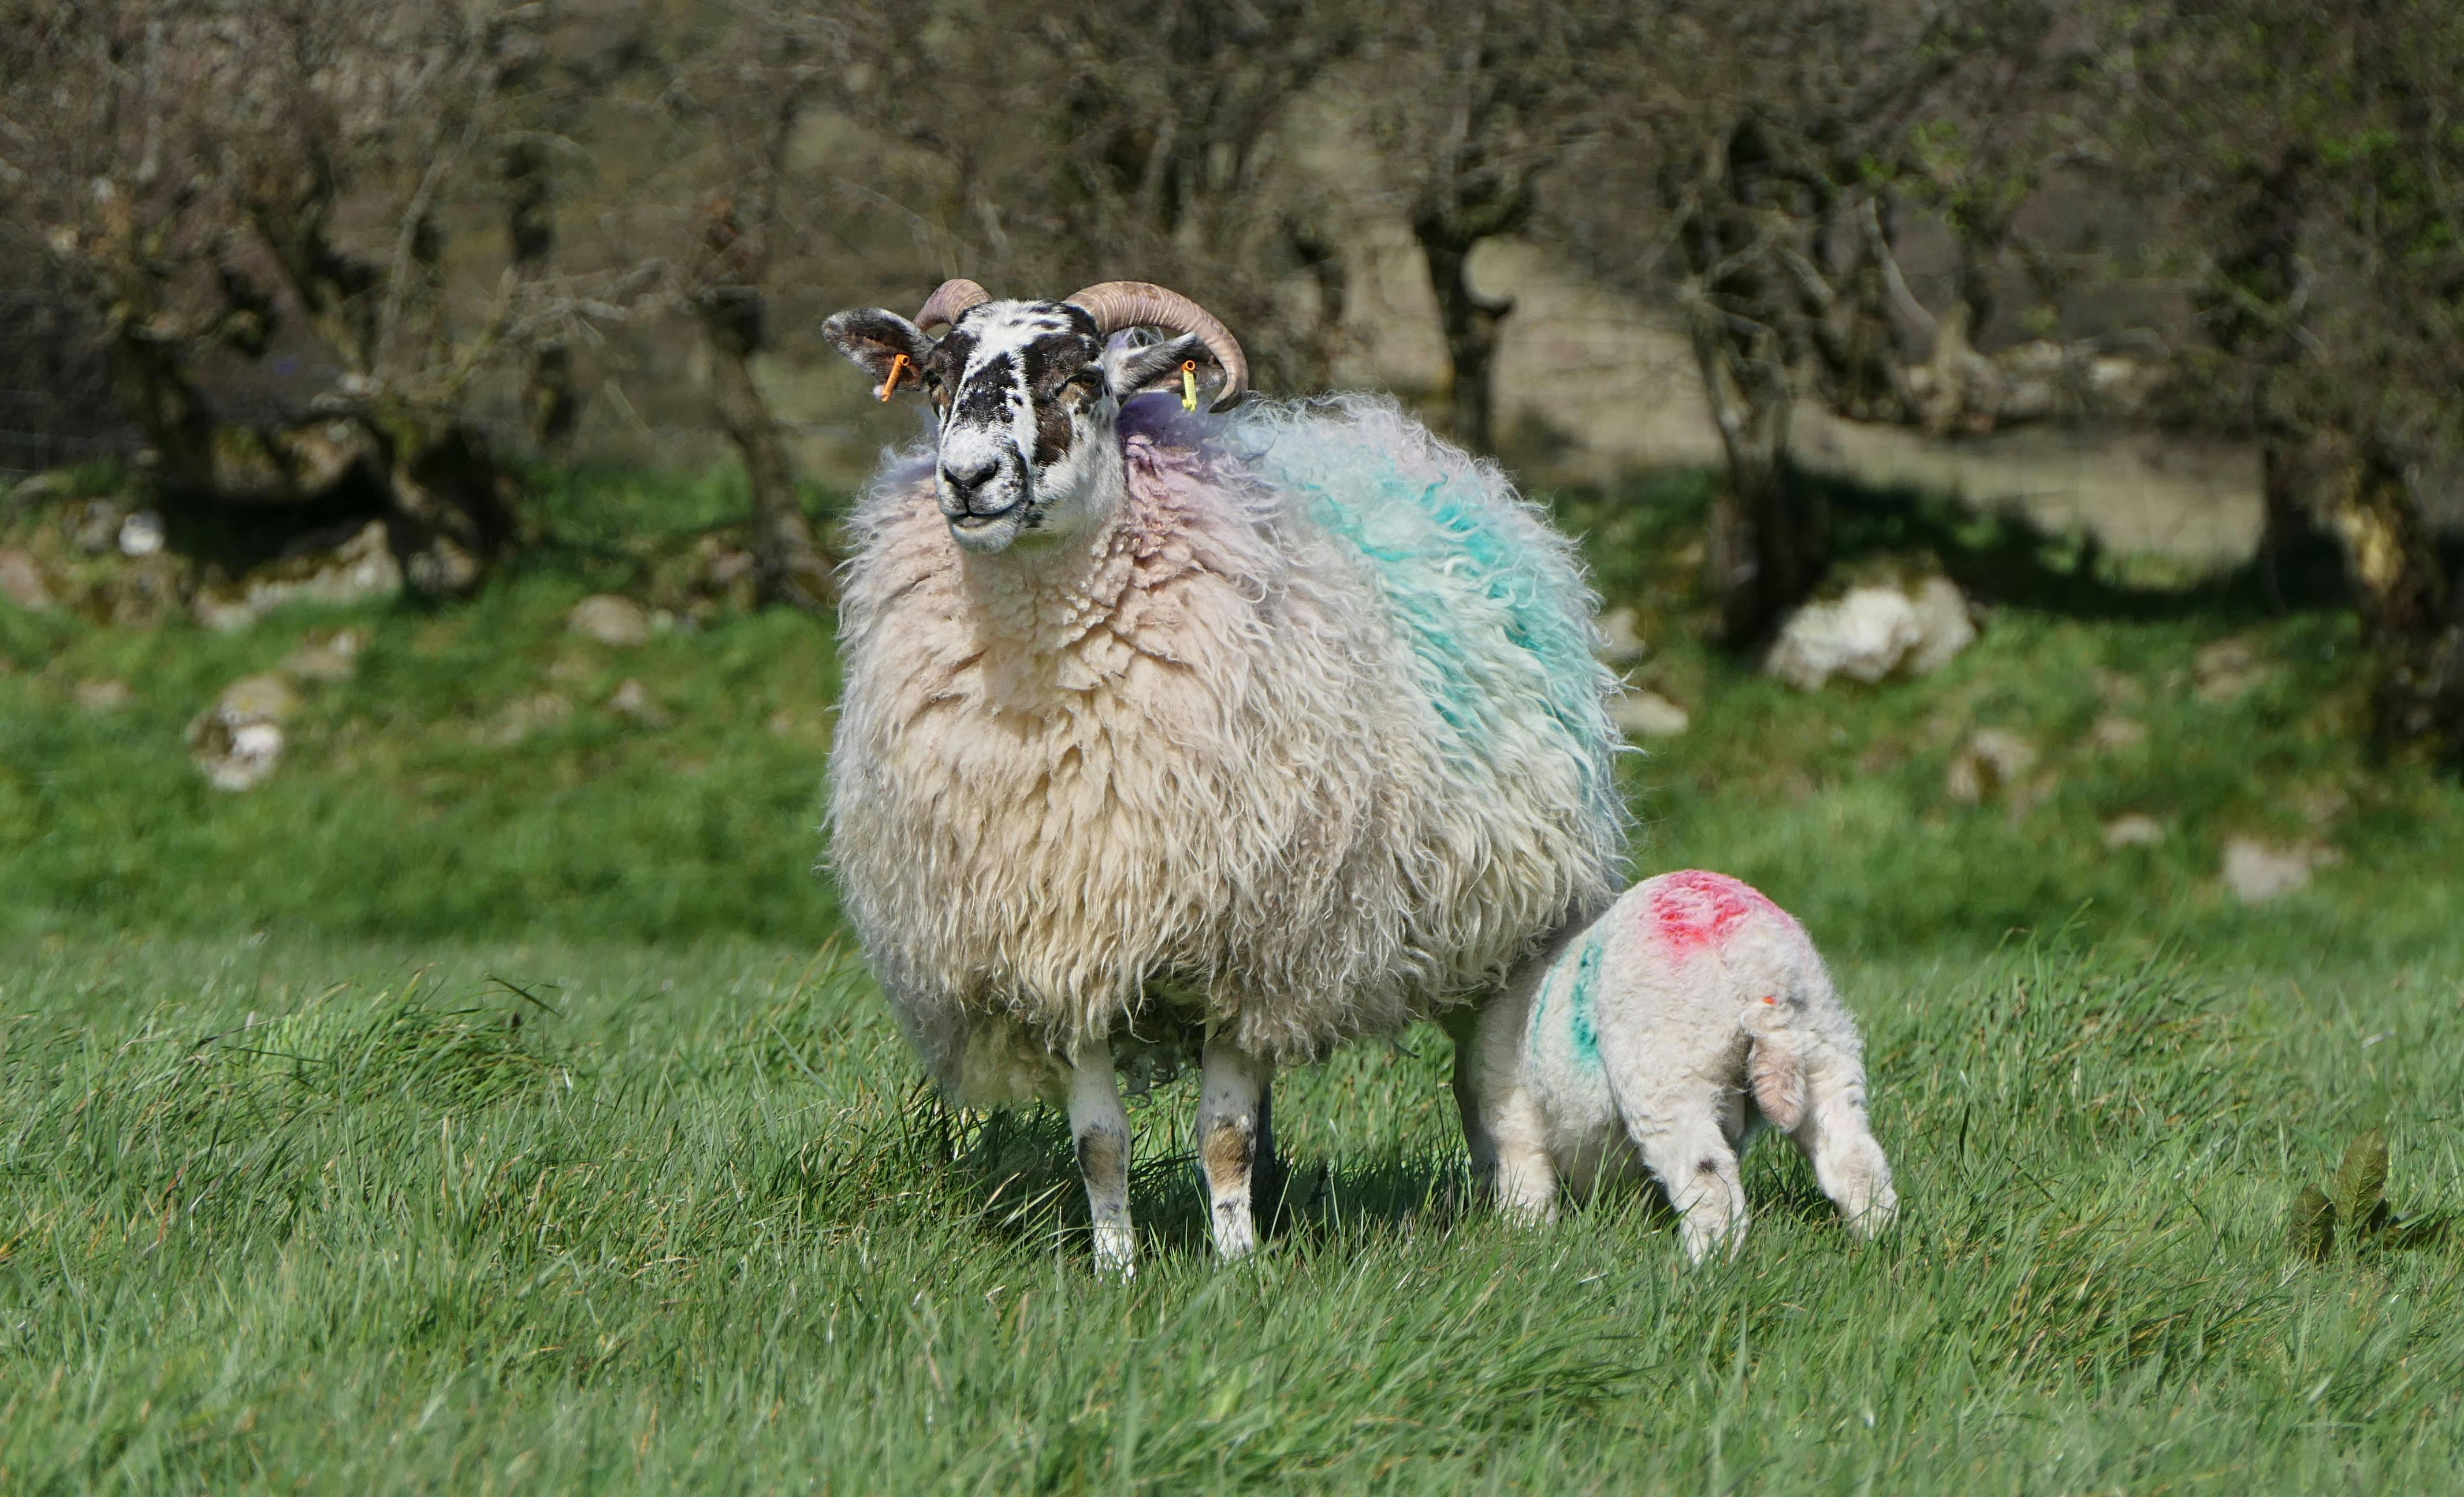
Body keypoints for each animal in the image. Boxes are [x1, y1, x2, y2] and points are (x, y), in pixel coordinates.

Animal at [820, 279, 1626, 1274]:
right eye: (935, 378)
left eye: (1082, 378)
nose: (967, 480)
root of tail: (1405, 445)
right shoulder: (1063, 937)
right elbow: (1101, 1142)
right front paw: (1118, 1266)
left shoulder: (1254, 944)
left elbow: (1221, 1135)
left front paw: (1237, 1268)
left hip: (1512, 902)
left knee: (1493, 1067)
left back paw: (1520, 1210)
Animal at [1456, 869, 1897, 1262]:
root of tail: (1760, 966)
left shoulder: (1512, 1110)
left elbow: (1526, 1181)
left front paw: (1523, 1238)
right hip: (1825, 1042)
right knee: (1855, 1154)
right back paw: (1877, 1240)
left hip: (1668, 1066)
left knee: (1710, 1179)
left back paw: (1709, 1266)